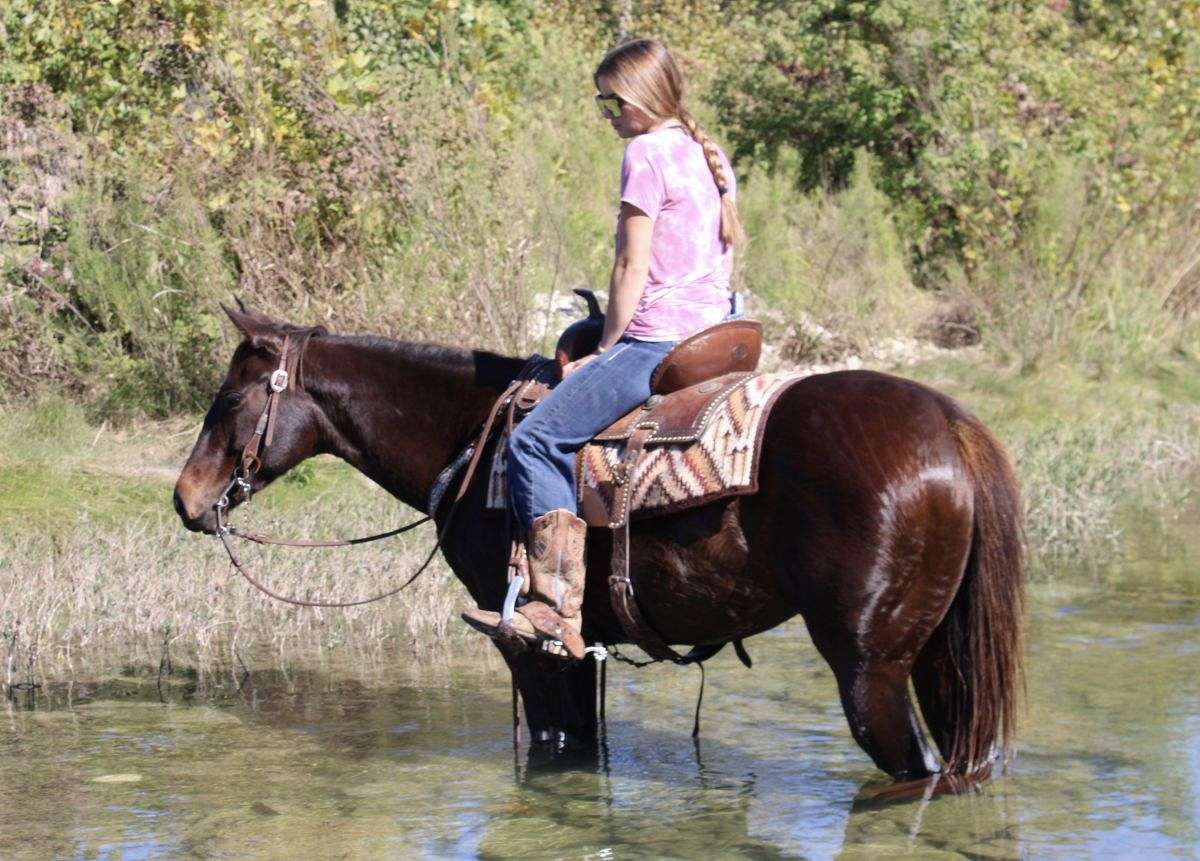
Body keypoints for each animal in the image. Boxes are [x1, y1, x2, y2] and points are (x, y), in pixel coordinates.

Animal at [173, 304, 1024, 784]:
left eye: (232, 397)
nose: (185, 497)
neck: (474, 437)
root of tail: (950, 426)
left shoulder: (528, 645)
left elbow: (555, 742)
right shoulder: (581, 651)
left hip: (869, 669)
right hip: (940, 659)